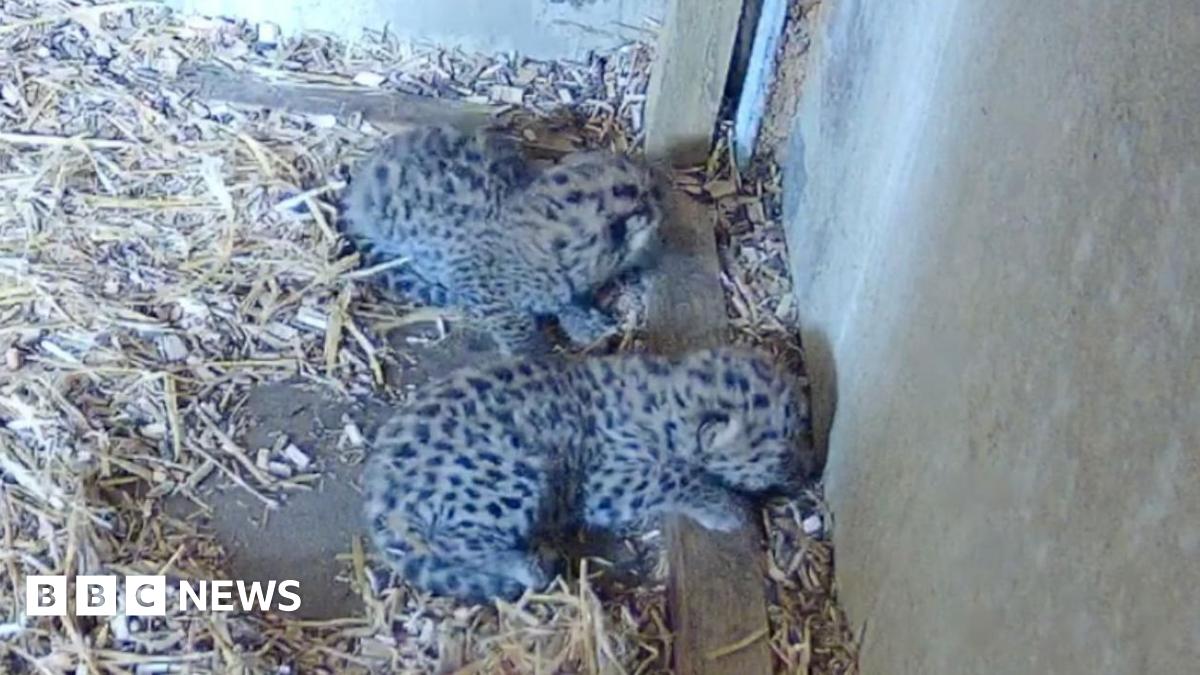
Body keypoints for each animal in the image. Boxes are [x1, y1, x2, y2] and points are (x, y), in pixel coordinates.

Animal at [338, 124, 666, 355]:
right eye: (644, 194)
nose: (659, 190)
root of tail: (359, 186)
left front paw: (584, 322)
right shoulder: (480, 288)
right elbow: (516, 328)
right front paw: (533, 357)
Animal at [362, 346, 818, 603]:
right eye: (783, 453)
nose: (811, 472)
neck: (666, 398)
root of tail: (377, 499)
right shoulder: (604, 484)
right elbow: (670, 475)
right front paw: (725, 507)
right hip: (504, 478)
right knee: (451, 541)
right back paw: (530, 565)